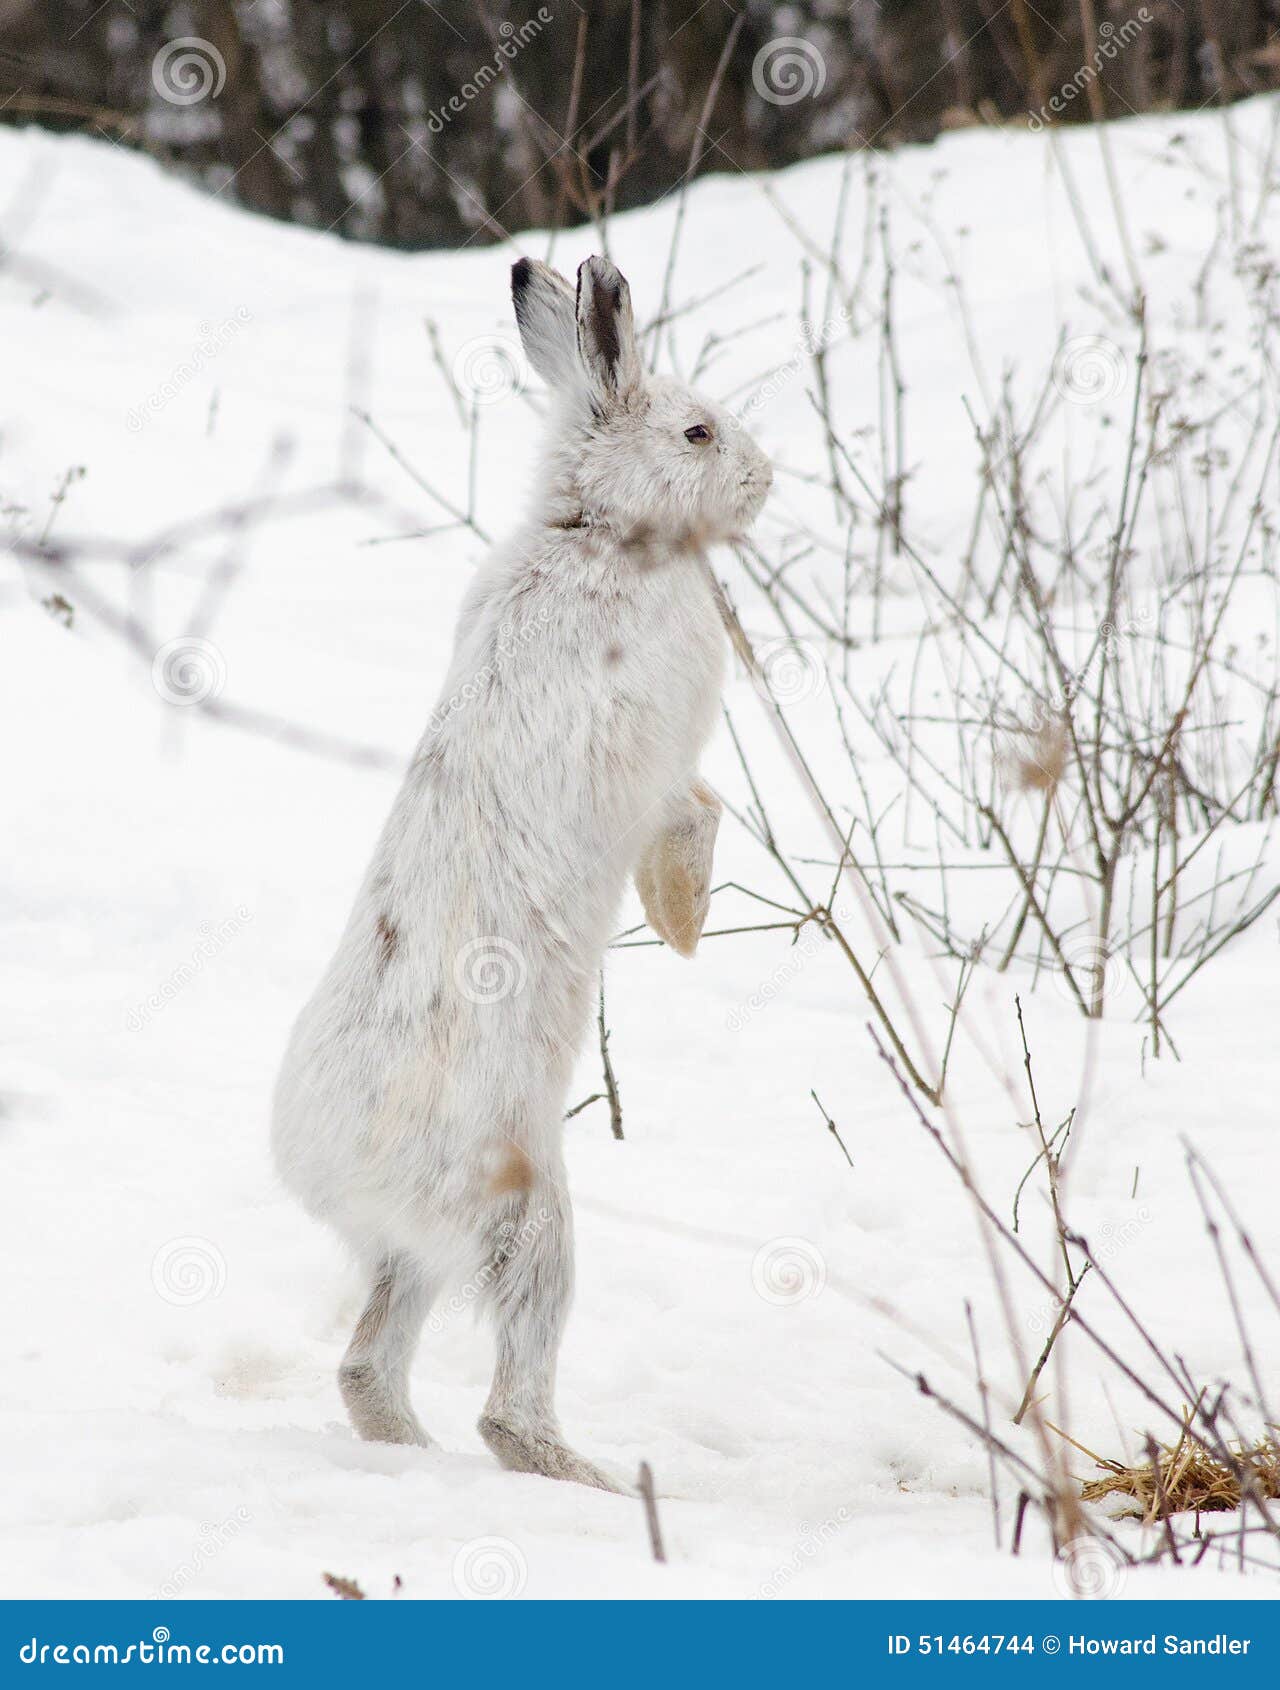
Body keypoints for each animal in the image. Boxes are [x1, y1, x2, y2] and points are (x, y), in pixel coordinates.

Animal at [271, 254, 773, 1491]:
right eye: (697, 431)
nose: (762, 479)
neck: (598, 526)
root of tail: (340, 1165)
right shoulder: (664, 753)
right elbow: (699, 809)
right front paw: (683, 922)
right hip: (531, 1217)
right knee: (509, 1398)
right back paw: (584, 1475)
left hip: (415, 1250)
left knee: (365, 1366)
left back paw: (414, 1454)